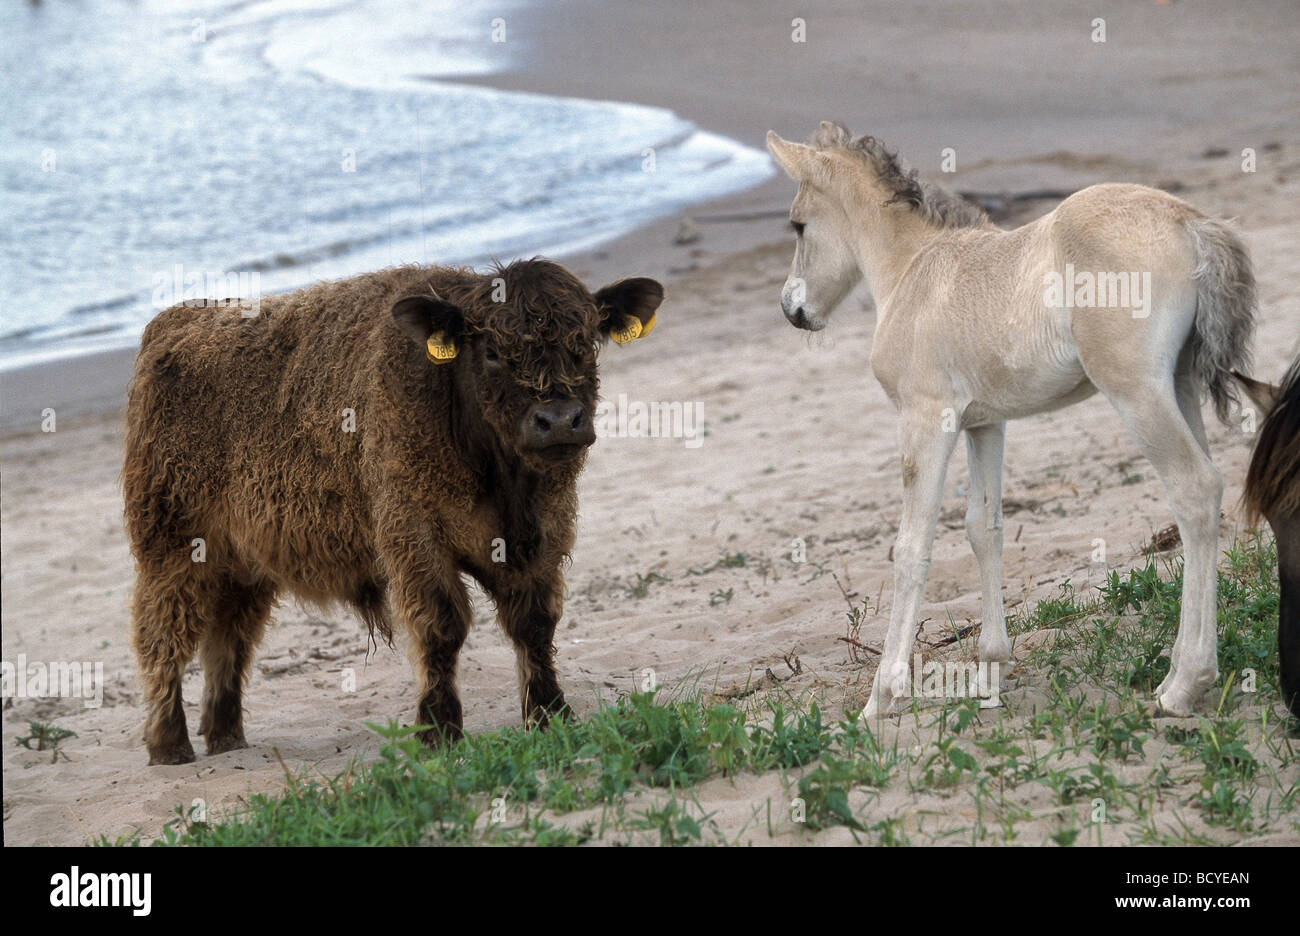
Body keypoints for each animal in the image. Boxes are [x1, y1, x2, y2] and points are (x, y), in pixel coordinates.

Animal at [766, 121, 1256, 719]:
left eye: (798, 224)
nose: (793, 310)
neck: (912, 271)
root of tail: (1189, 220)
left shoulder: (926, 418)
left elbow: (912, 546)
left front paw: (880, 698)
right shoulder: (985, 424)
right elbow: (985, 528)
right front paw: (990, 675)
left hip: (1135, 389)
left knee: (1194, 489)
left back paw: (1185, 684)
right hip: (1180, 383)